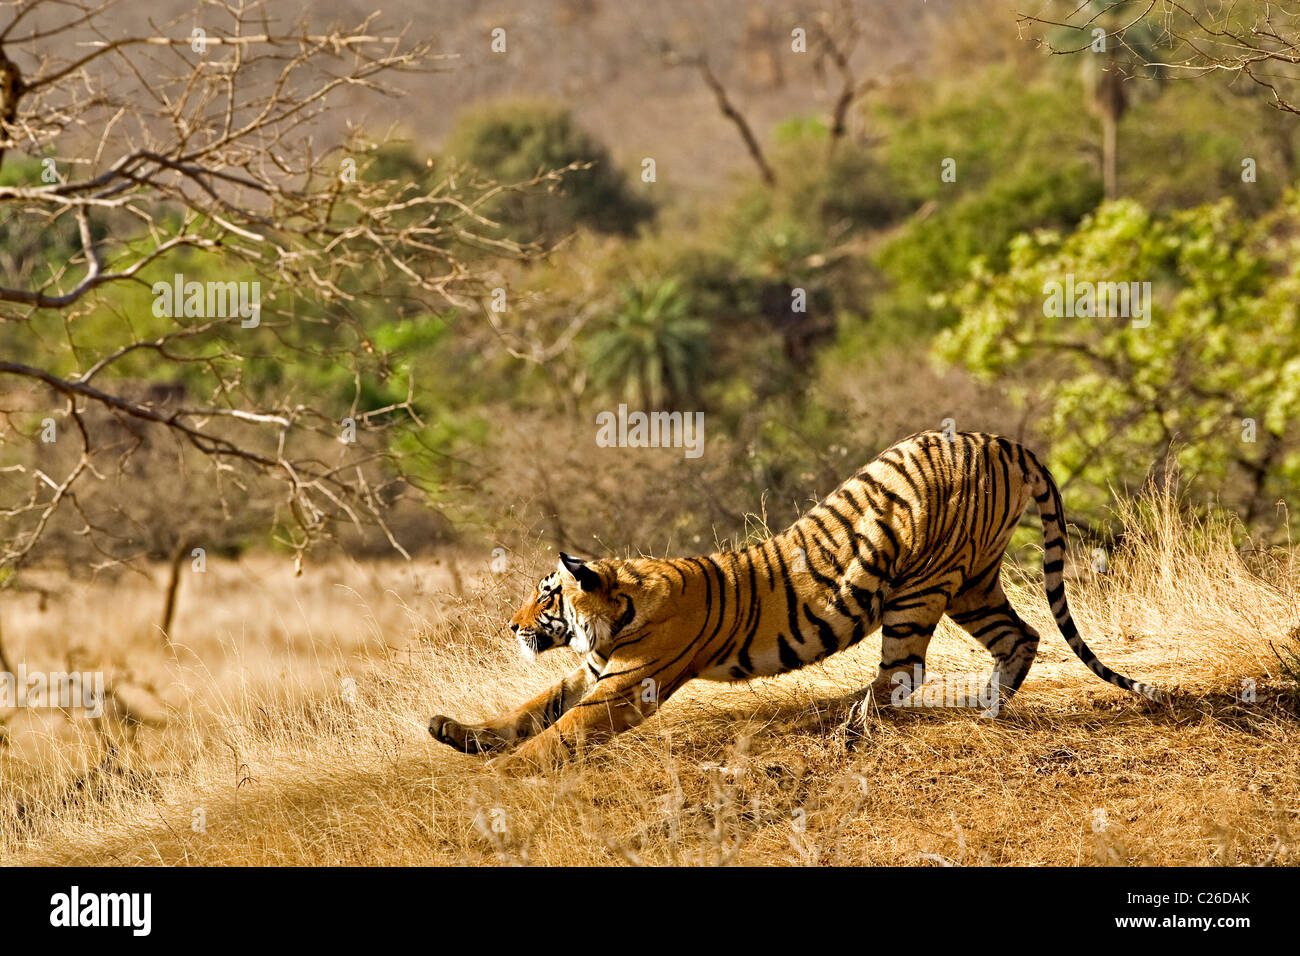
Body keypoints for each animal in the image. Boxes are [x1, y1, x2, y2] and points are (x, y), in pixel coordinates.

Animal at [428, 430, 1165, 774]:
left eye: (545, 595)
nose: (512, 625)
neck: (622, 604)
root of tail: (1002, 442)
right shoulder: (597, 668)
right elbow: (532, 708)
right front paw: (456, 734)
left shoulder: (627, 683)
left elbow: (560, 731)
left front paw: (498, 778)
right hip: (974, 580)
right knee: (1020, 636)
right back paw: (987, 707)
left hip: (922, 586)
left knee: (903, 672)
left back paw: (851, 732)